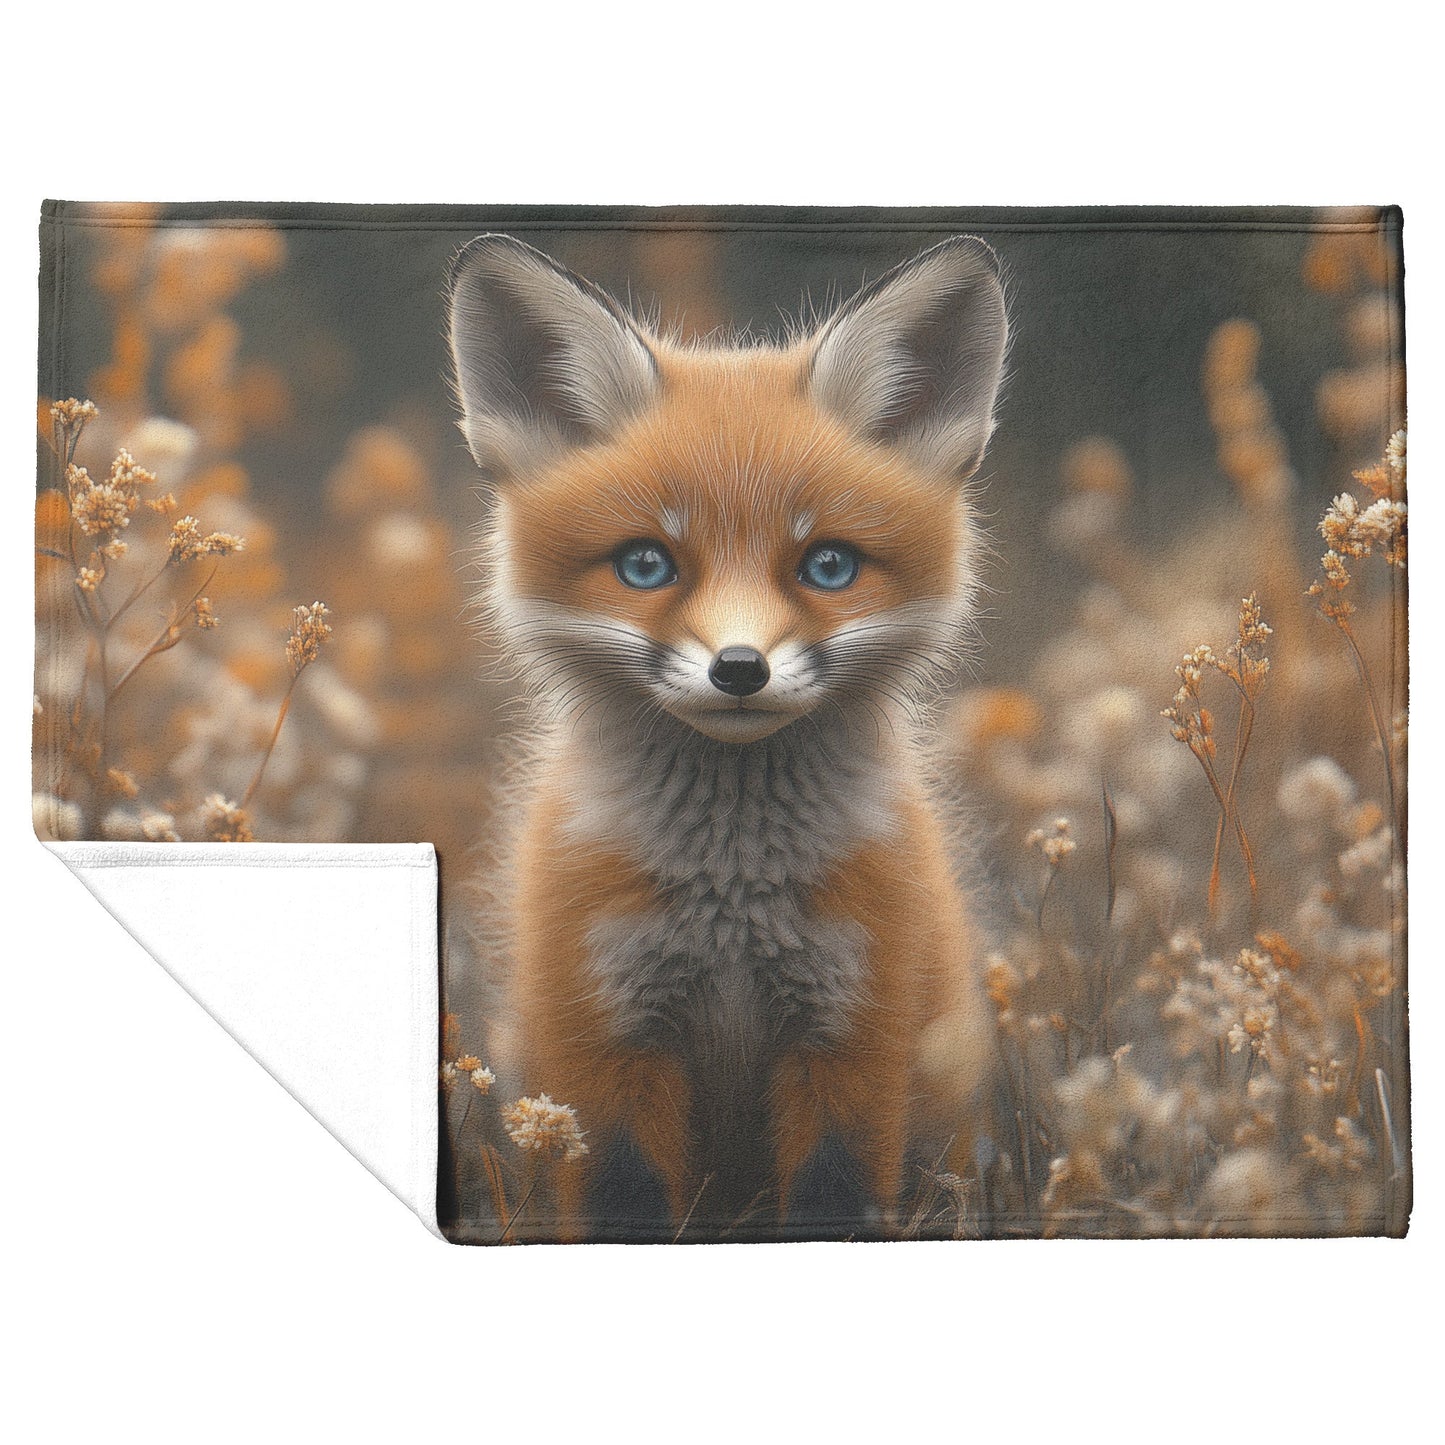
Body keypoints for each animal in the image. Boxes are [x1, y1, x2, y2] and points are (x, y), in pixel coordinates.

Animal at [447, 232, 1009, 1240]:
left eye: (827, 565)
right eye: (645, 564)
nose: (739, 668)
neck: (731, 899)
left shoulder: (851, 1035)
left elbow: (836, 1200)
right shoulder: (605, 1040)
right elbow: (620, 1200)